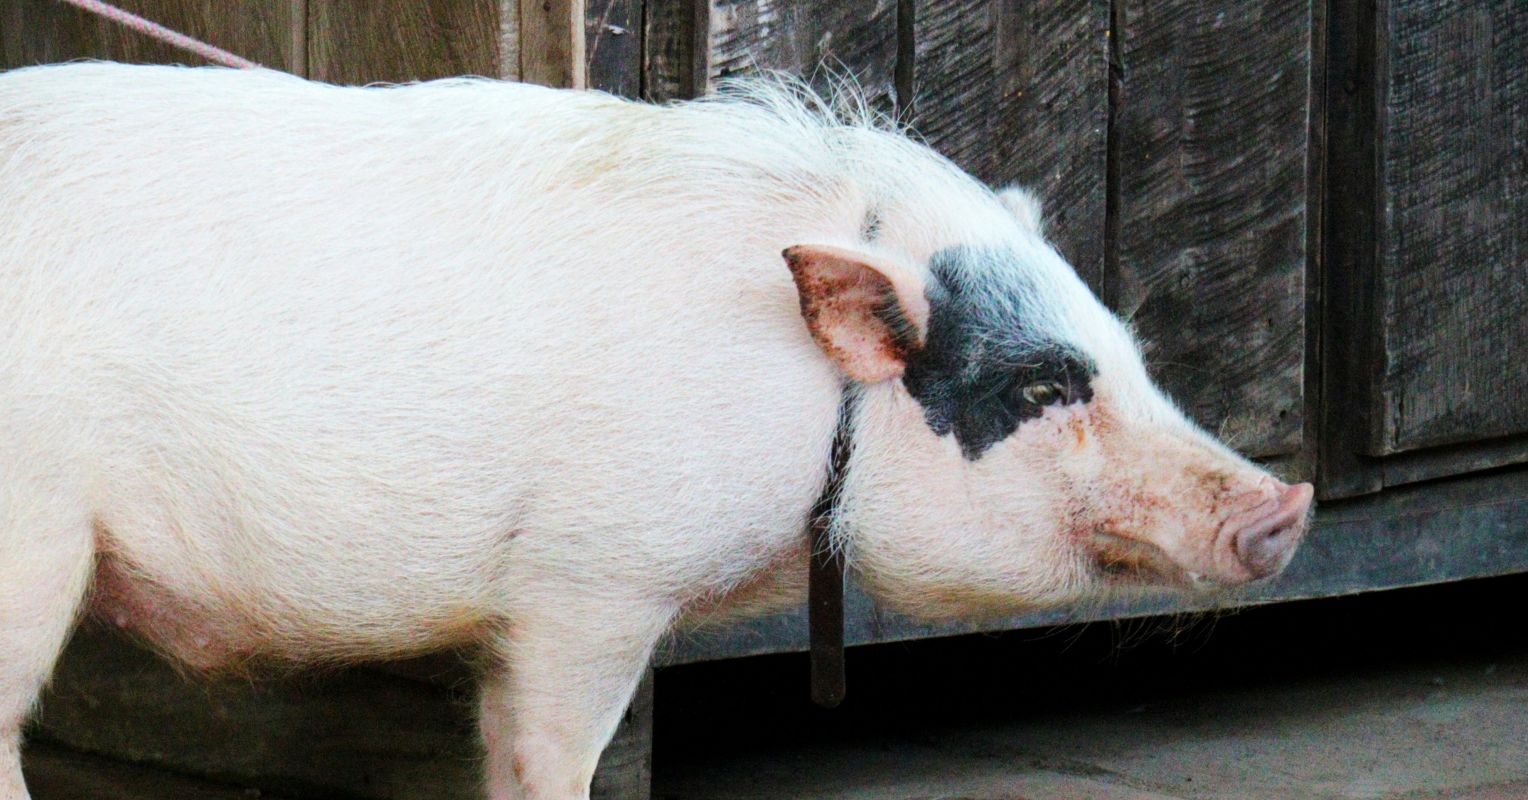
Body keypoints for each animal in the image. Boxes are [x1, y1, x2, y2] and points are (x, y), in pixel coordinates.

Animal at [0, 62, 1312, 800]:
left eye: (1128, 352)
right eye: (1040, 387)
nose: (1287, 503)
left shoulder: (532, 600)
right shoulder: (595, 575)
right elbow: (555, 754)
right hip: (32, 527)